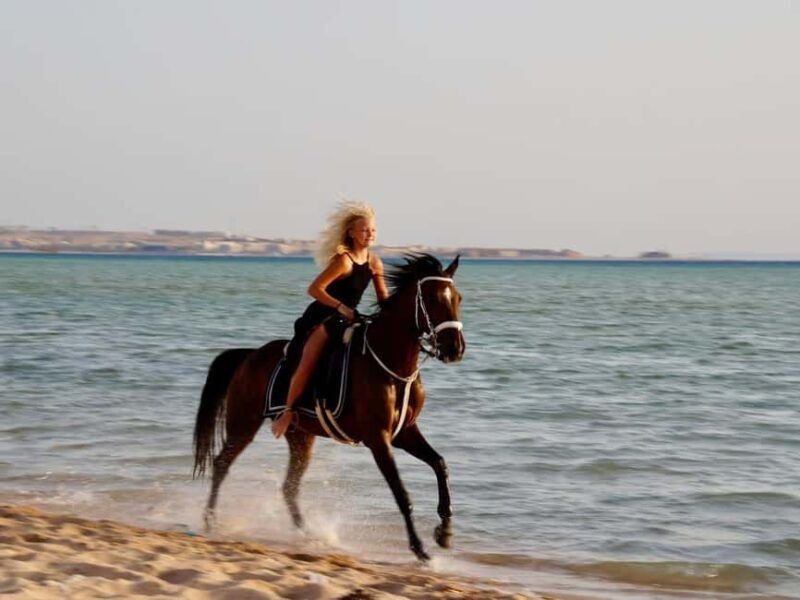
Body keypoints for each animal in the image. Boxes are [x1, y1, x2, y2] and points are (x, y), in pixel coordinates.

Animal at [192, 253, 465, 560]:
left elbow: (440, 464)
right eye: (431, 298)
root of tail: (249, 356)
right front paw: (419, 548)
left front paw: (445, 532)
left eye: (458, 298)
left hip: (300, 436)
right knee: (221, 464)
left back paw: (309, 535)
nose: (455, 349)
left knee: (289, 487)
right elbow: (401, 493)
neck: (390, 363)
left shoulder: (404, 432)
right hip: (243, 424)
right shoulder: (378, 438)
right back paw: (211, 521)